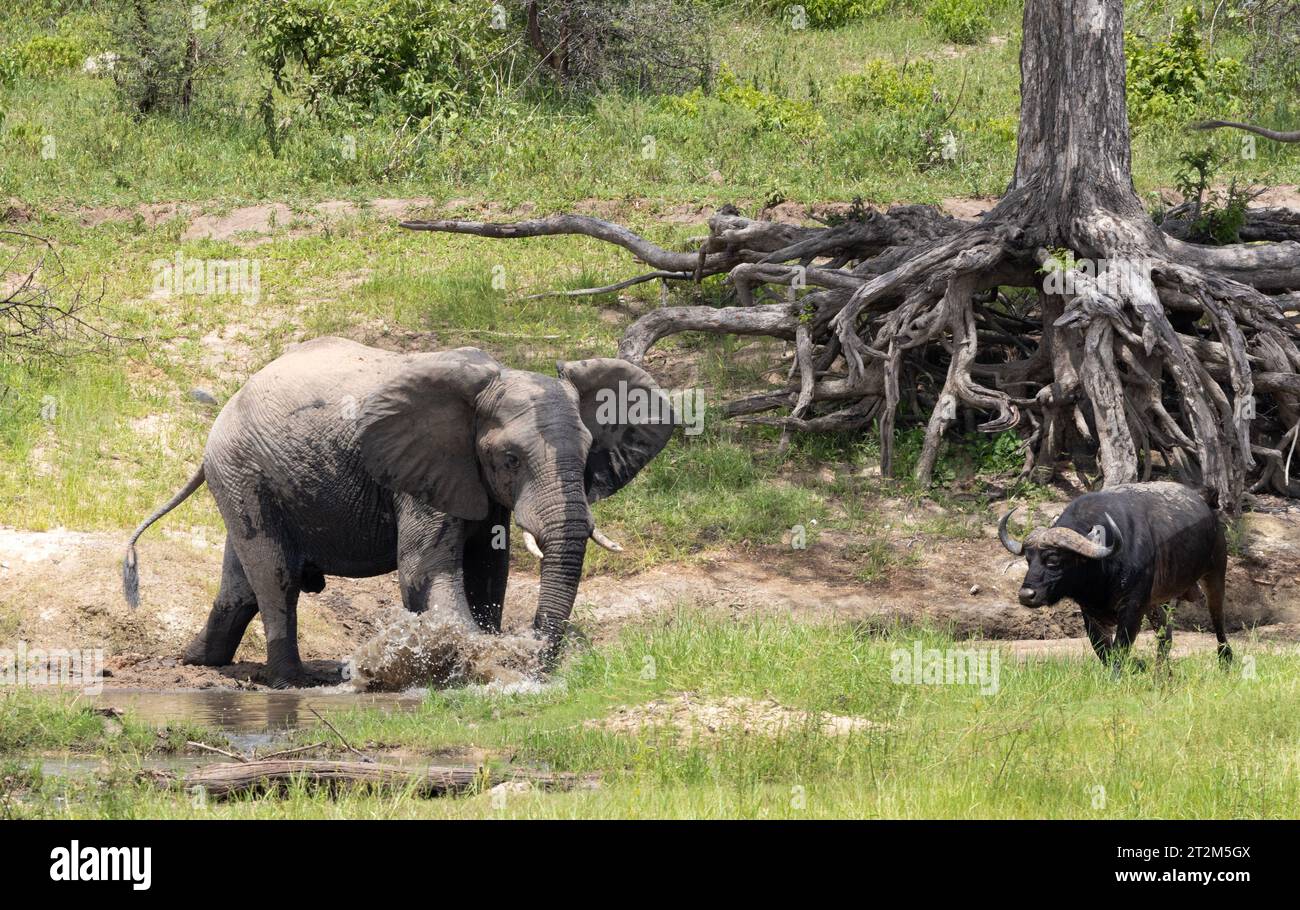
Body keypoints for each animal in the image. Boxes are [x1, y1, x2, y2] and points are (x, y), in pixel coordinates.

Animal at [121, 337, 675, 688]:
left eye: (587, 455)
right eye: (510, 459)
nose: (538, 653)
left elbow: (489, 569)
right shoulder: (421, 470)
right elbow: (426, 570)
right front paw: (475, 662)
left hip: (246, 475)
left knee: (241, 582)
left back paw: (197, 661)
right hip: (240, 467)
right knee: (275, 577)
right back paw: (294, 681)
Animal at [998, 481, 1231, 669]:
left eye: (1053, 559)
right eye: (1028, 559)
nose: (1026, 595)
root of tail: (1207, 505)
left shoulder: (1132, 607)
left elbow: (1120, 648)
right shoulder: (1090, 612)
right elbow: (1103, 651)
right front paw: (1136, 666)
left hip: (1215, 573)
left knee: (1218, 620)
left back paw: (1225, 660)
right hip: (1158, 601)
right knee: (1165, 635)